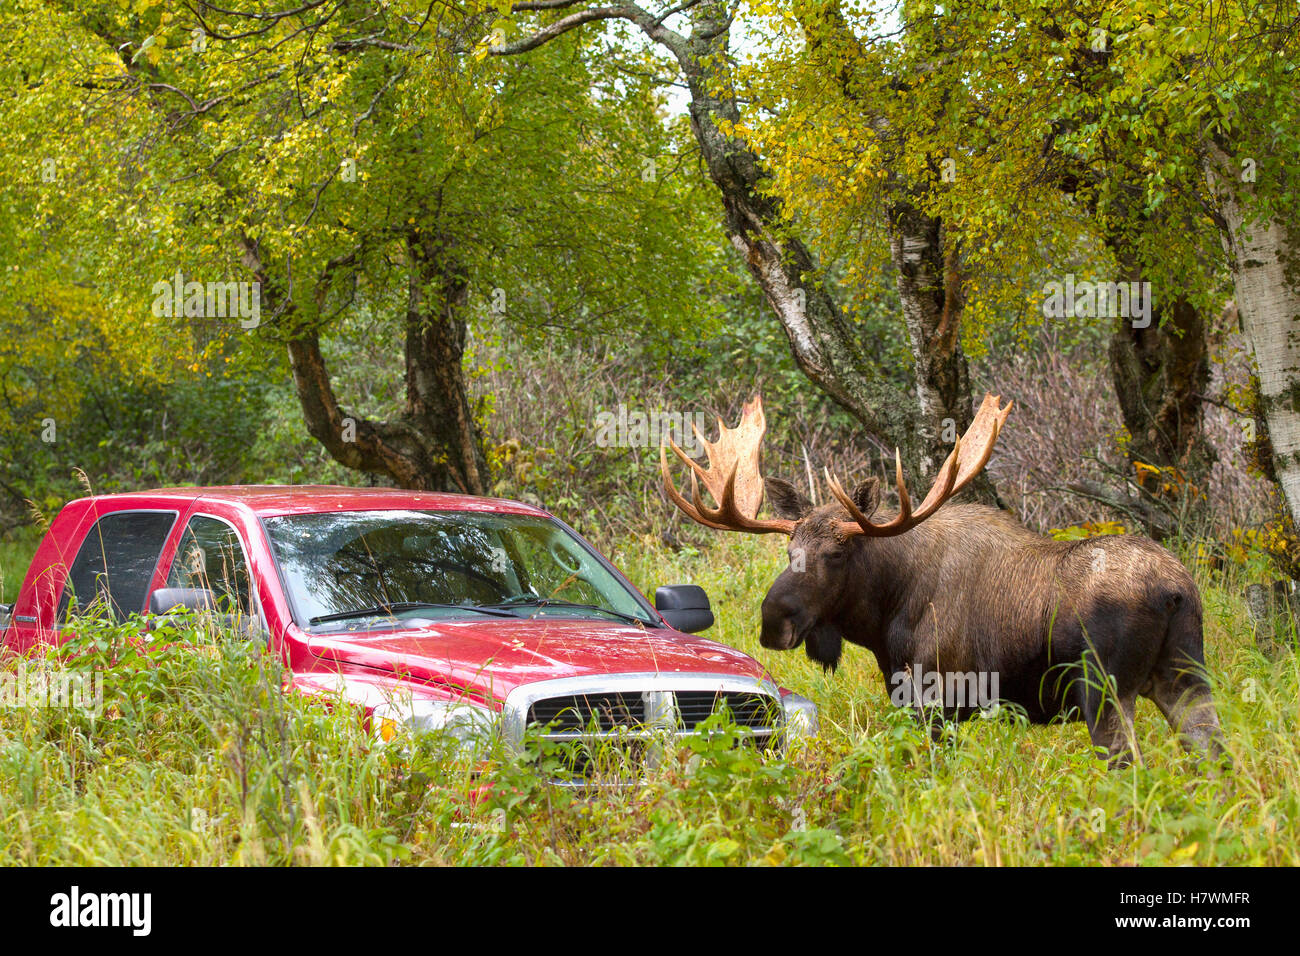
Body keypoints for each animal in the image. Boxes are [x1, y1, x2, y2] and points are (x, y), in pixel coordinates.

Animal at [661, 393, 1225, 769]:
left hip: (1104, 689)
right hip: (1185, 678)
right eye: (788, 549)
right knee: (1215, 760)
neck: (884, 612)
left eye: (838, 551)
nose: (773, 621)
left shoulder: (936, 698)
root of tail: (1176, 592)